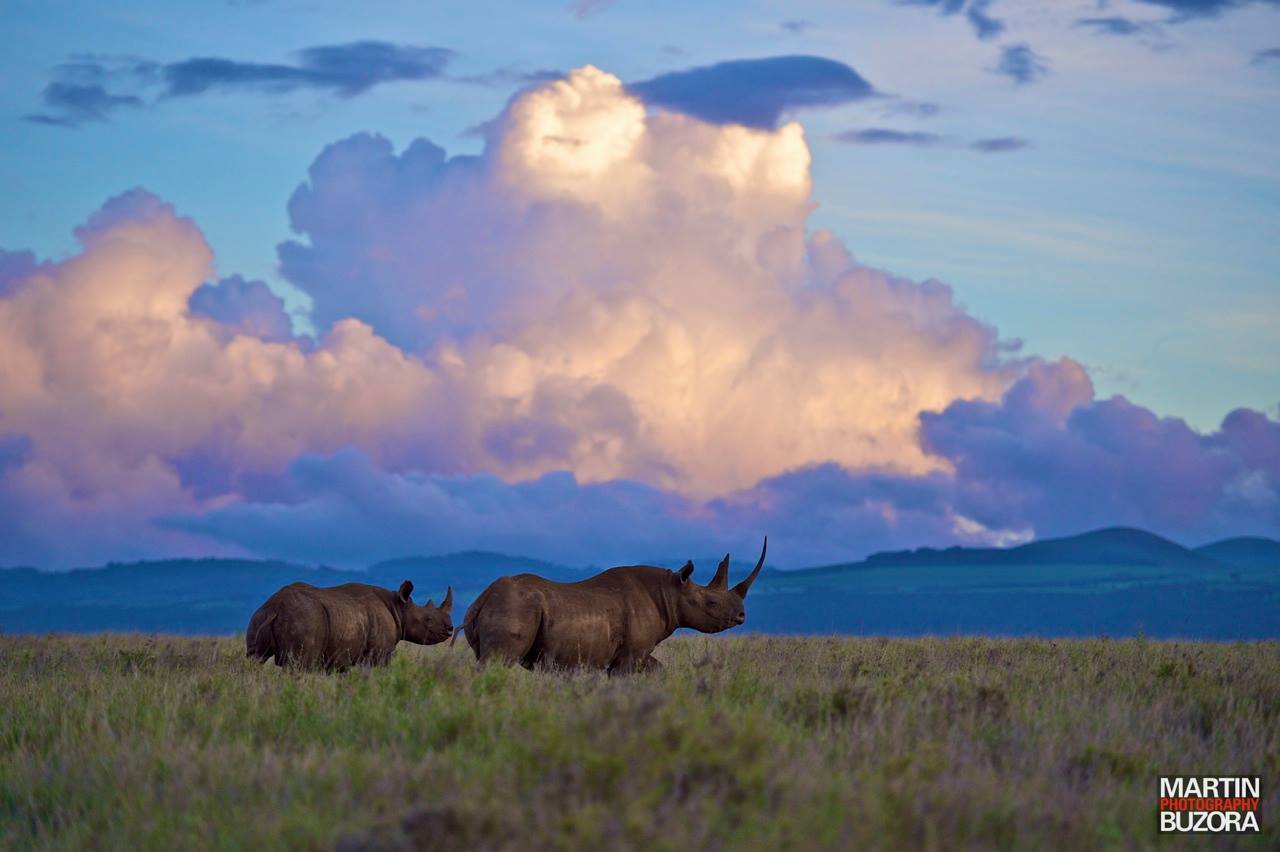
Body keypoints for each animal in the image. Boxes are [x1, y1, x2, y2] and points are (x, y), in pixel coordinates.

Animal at [246, 580, 453, 671]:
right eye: (428, 619)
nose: (450, 629)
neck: (398, 608)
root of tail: (276, 607)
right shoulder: (379, 653)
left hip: (258, 616)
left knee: (255, 660)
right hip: (304, 618)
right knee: (298, 666)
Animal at [457, 538, 766, 674]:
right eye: (711, 602)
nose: (741, 616)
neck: (671, 592)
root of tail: (483, 598)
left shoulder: (636, 652)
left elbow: (657, 670)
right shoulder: (631, 653)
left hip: (500, 606)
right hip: (516, 607)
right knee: (496, 662)